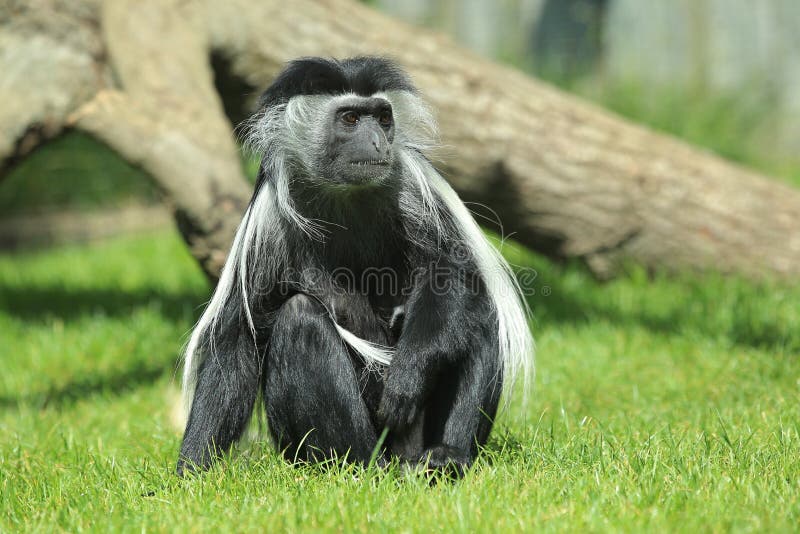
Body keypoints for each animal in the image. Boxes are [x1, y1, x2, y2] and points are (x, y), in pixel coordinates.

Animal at [177, 56, 534, 477]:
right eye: (349, 118)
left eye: (382, 117)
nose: (378, 141)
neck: (346, 193)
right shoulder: (266, 223)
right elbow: (238, 336)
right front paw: (190, 472)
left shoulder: (415, 187)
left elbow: (449, 274)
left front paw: (407, 377)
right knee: (299, 318)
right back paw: (359, 467)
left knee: (479, 315)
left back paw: (444, 458)